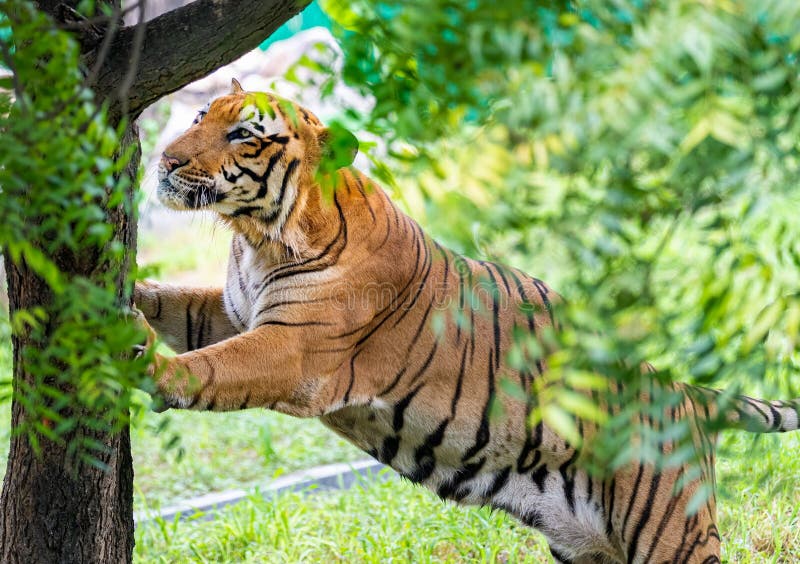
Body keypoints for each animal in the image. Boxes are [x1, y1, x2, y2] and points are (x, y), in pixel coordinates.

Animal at [134, 78, 800, 563]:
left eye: (243, 134)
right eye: (199, 117)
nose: (164, 161)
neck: (257, 238)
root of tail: (682, 389)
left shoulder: (293, 350)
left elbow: (214, 367)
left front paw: (151, 368)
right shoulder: (235, 312)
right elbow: (177, 304)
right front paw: (126, 298)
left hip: (670, 535)